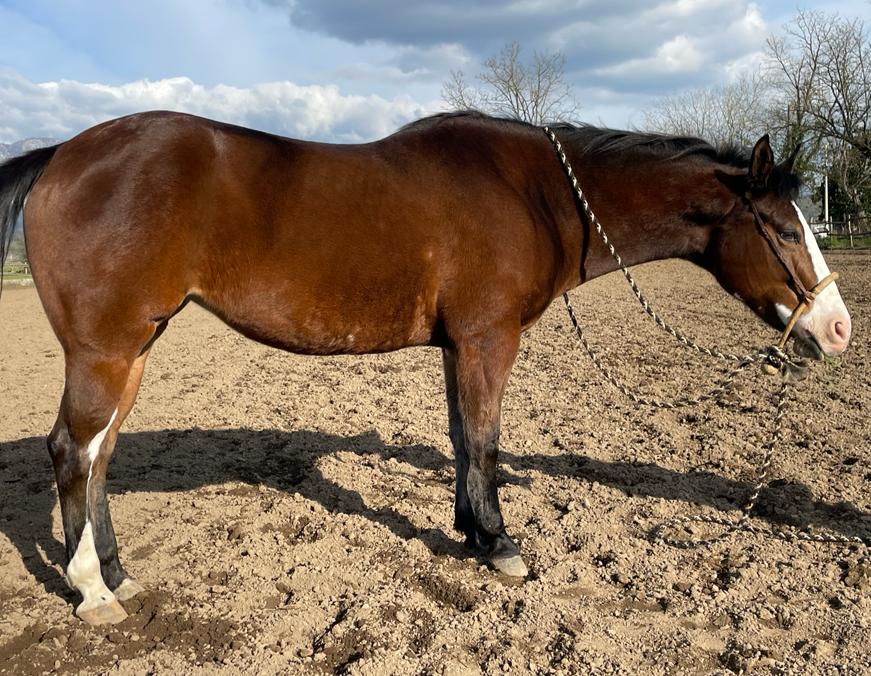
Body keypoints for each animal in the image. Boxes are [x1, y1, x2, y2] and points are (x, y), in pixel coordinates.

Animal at [0, 110, 851, 626]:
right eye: (782, 229)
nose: (837, 329)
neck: (532, 191)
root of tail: (63, 155)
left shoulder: (457, 346)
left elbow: (460, 439)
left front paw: (470, 531)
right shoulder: (486, 340)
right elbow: (484, 440)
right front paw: (501, 548)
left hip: (134, 351)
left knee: (100, 458)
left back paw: (118, 574)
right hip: (106, 351)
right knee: (72, 451)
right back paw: (91, 592)